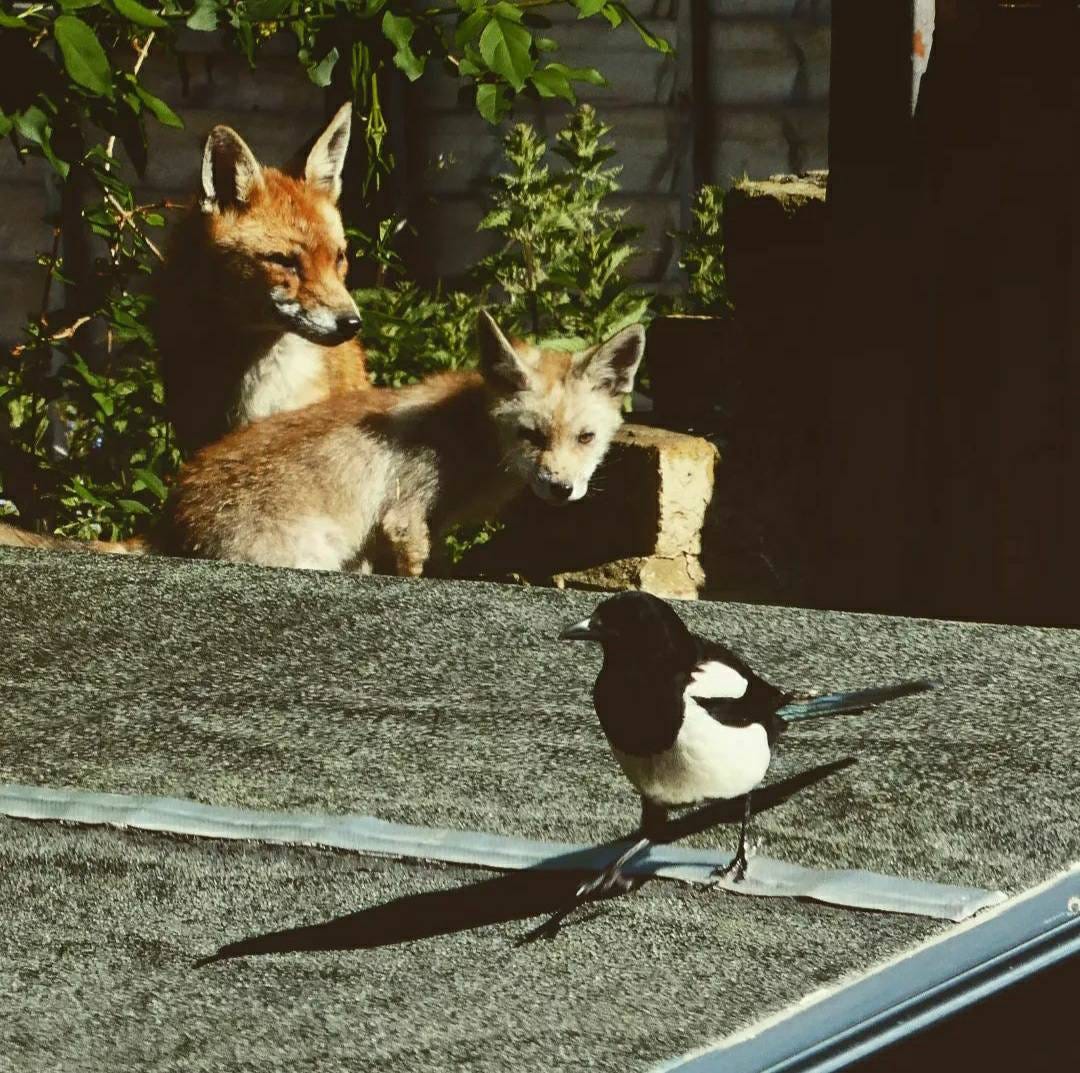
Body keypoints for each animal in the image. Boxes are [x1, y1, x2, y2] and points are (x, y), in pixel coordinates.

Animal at [0, 313, 646, 576]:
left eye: (586, 437)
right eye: (530, 434)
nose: (561, 490)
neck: (469, 435)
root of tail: (169, 519)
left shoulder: (386, 536)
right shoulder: (406, 516)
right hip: (314, 555)